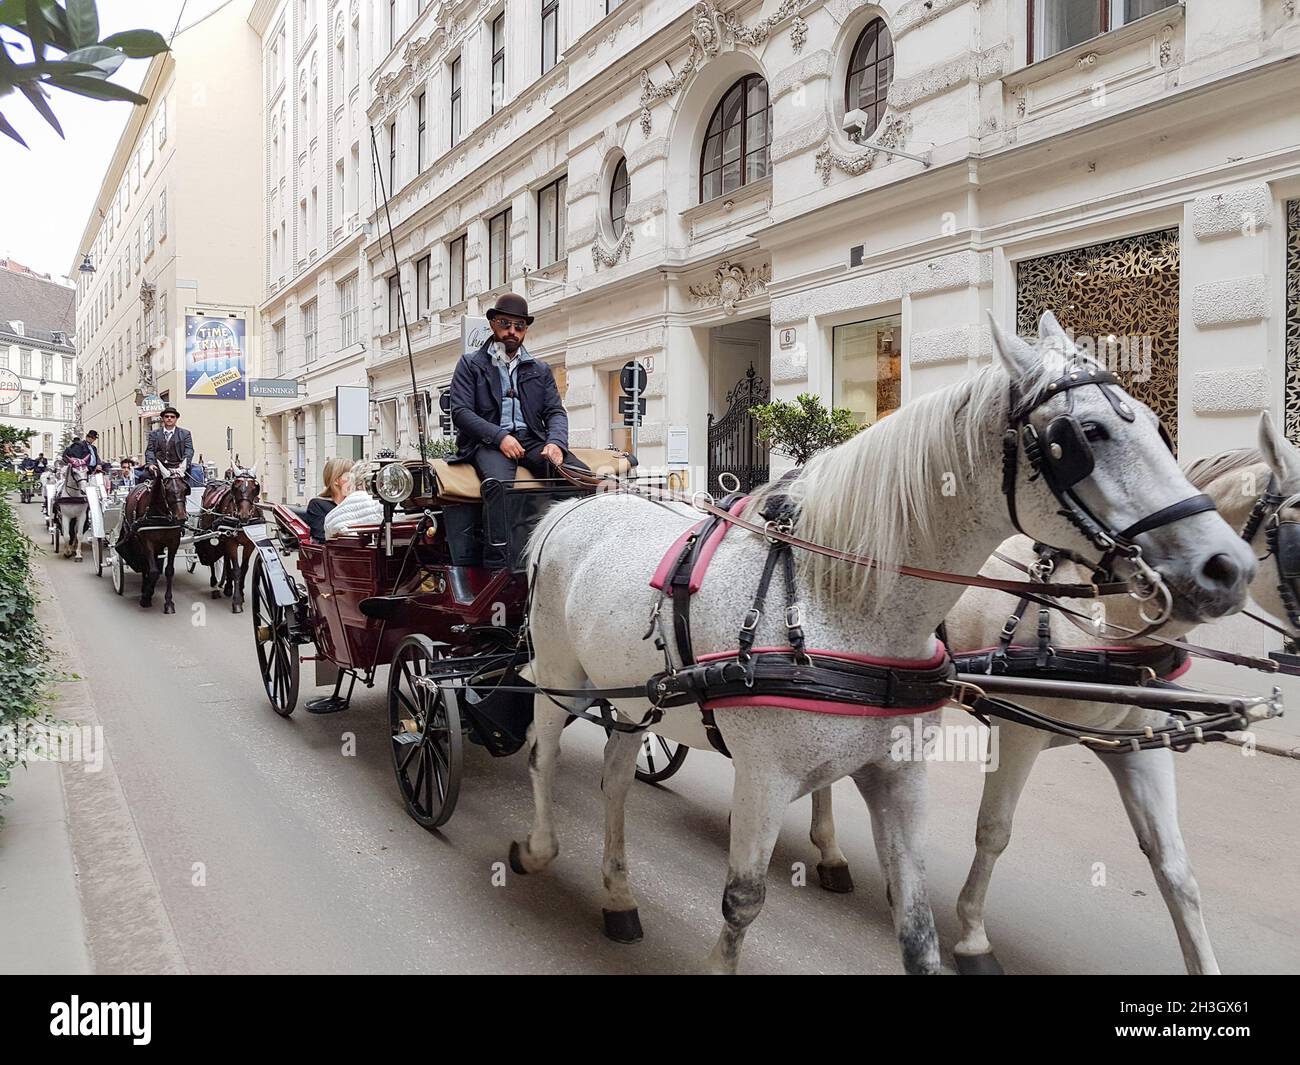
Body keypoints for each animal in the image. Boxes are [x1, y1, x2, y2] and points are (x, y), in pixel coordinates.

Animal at [119, 464, 190, 614]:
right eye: (167, 490)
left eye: (185, 489)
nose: (181, 517)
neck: (161, 515)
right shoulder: (147, 542)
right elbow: (153, 571)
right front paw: (146, 597)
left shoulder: (173, 543)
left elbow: (169, 571)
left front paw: (168, 602)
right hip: (139, 542)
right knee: (145, 564)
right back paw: (145, 589)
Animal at [195, 467, 261, 613]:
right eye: (235, 487)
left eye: (255, 488)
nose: (244, 515)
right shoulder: (231, 543)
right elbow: (236, 569)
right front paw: (237, 601)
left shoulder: (249, 544)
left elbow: (244, 568)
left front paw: (240, 592)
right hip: (213, 538)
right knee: (213, 561)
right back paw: (215, 585)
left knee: (225, 559)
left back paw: (228, 586)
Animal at [511, 311, 1257, 974]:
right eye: (1087, 434)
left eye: (1158, 425)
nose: (1227, 567)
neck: (839, 602)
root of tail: (575, 504)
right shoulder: (763, 778)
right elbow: (742, 901)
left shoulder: (901, 773)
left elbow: (920, 924)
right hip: (560, 678)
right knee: (544, 756)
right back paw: (538, 849)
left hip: (636, 700)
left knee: (614, 778)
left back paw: (618, 894)